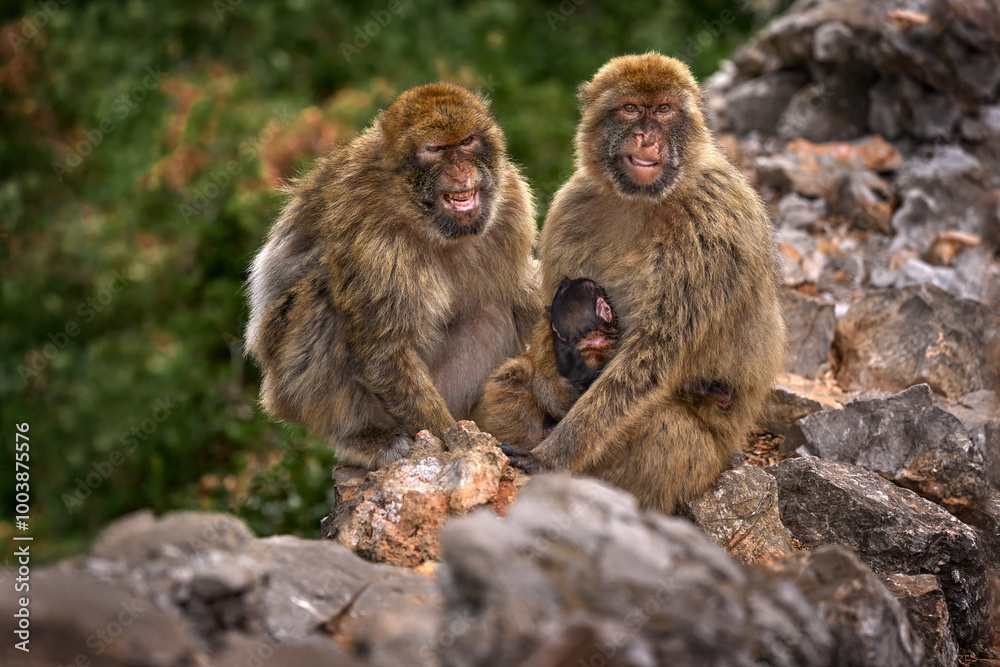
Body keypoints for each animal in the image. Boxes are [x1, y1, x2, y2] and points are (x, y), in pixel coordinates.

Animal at [245, 82, 540, 470]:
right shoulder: (375, 238)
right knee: (322, 298)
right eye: (436, 149)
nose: (460, 170)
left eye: (467, 142)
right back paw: (360, 437)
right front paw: (450, 444)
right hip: (290, 392)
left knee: (489, 309)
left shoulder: (511, 210)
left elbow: (522, 290)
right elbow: (384, 349)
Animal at [477, 53, 786, 514]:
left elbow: (652, 357)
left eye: (663, 110)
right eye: (630, 109)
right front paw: (553, 390)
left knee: (663, 428)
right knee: (510, 376)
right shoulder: (572, 204)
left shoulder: (716, 222)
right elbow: (549, 317)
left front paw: (550, 457)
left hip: (703, 461)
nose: (646, 135)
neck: (643, 200)